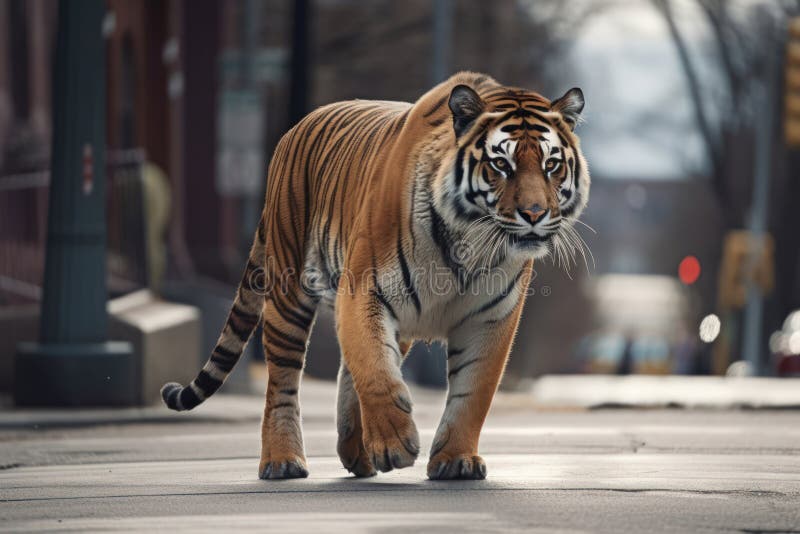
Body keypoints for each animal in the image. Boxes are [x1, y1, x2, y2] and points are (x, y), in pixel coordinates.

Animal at [161, 71, 590, 480]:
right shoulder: (363, 292)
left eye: (551, 165)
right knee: (283, 382)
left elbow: (473, 392)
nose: (534, 214)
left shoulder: (491, 317)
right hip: (288, 293)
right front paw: (395, 442)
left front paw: (455, 460)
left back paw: (357, 453)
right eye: (501, 164)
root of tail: (293, 130)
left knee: (348, 375)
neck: (471, 240)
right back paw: (283, 461)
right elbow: (374, 370)